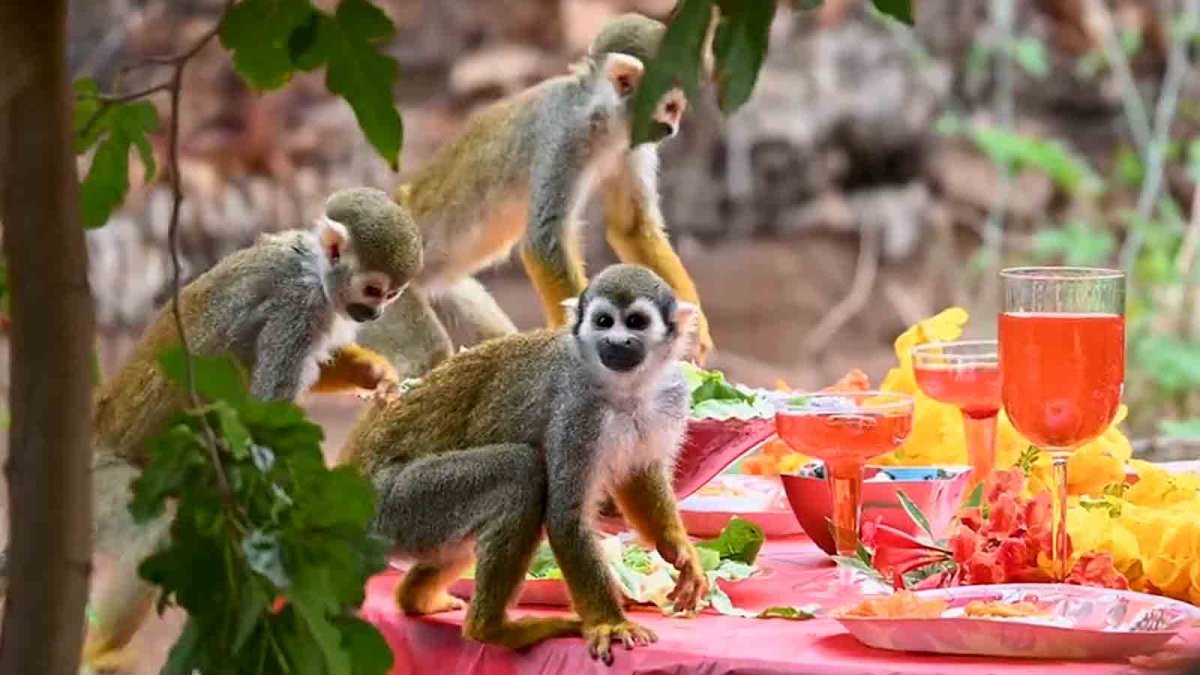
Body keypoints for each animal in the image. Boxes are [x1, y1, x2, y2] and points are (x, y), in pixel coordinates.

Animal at [74, 187, 422, 672]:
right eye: (373, 289)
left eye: (391, 295)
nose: (372, 314)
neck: (313, 268)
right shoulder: (297, 306)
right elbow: (266, 416)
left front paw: (374, 372)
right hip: (101, 485)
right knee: (151, 529)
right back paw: (99, 652)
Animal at [330, 13, 712, 389]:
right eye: (671, 107)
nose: (672, 129)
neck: (602, 117)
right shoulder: (563, 136)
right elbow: (545, 241)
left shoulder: (630, 144)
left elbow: (631, 226)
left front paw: (692, 330)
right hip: (381, 303)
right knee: (426, 354)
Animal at [339, 264, 709, 665]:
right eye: (604, 321)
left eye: (636, 322)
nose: (617, 341)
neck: (627, 387)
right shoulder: (576, 409)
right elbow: (566, 520)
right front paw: (611, 623)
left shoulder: (671, 396)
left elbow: (640, 476)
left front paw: (679, 551)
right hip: (397, 504)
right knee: (521, 471)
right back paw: (492, 629)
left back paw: (418, 598)